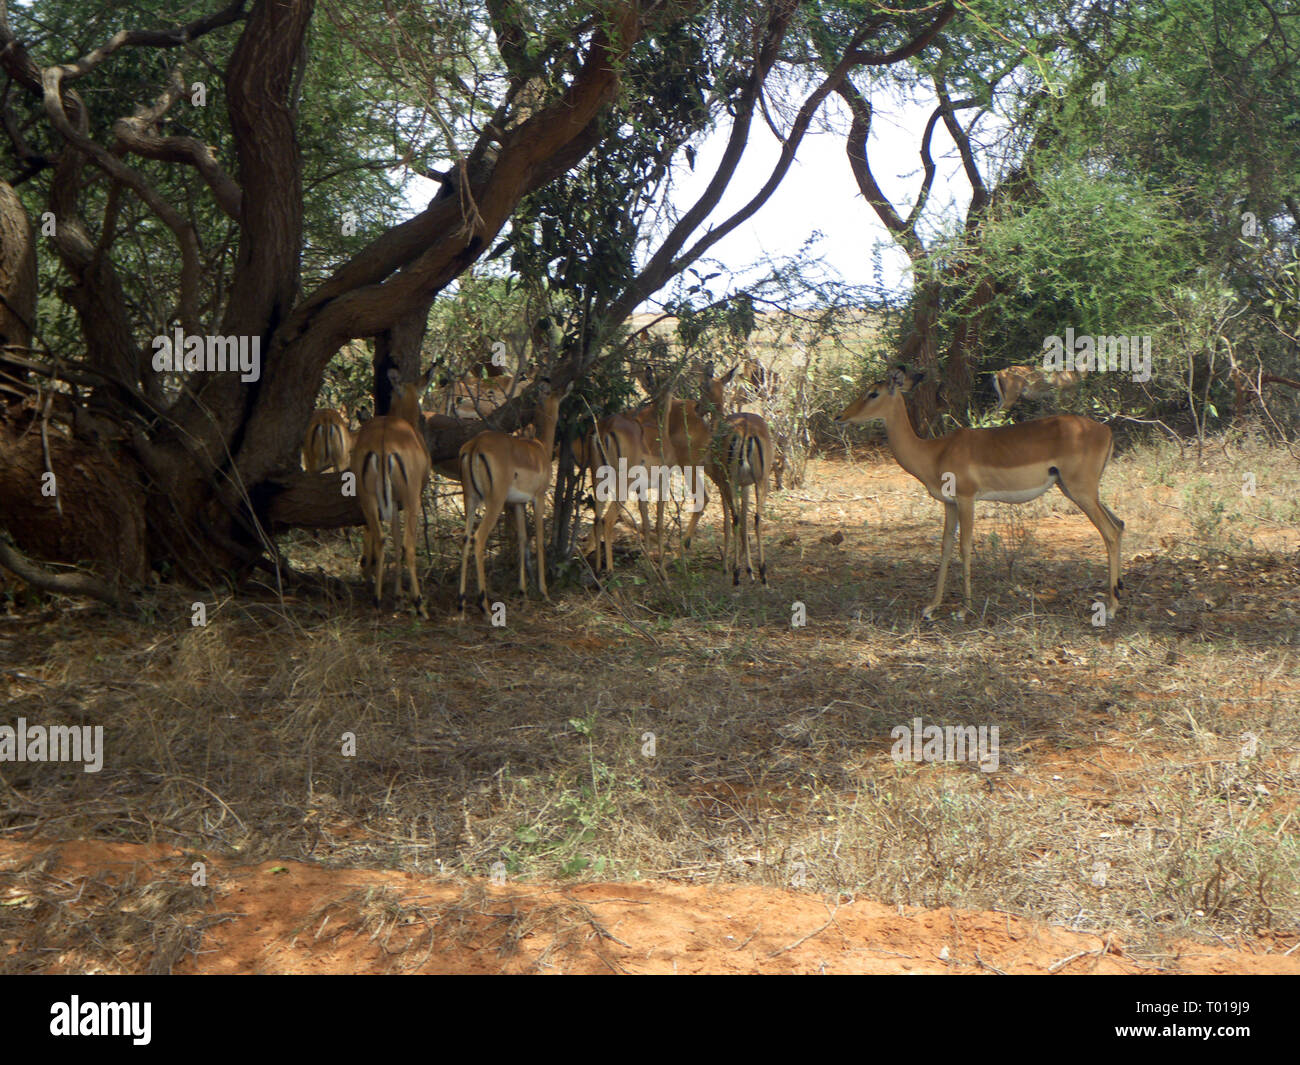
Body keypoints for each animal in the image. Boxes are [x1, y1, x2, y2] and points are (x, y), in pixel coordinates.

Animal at [350, 367, 433, 616]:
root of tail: (384, 444)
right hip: (412, 499)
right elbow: (401, 542)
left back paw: (376, 600)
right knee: (409, 546)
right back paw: (420, 604)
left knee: (380, 539)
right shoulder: (405, 500)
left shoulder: (393, 503)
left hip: (367, 499)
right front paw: (402, 597)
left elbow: (394, 538)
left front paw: (397, 597)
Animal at [457, 380, 570, 616]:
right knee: (478, 538)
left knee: (465, 539)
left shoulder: (517, 504)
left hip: (470, 499)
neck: (539, 449)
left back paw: (461, 604)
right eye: (555, 395)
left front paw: (523, 592)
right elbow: (538, 540)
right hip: (494, 502)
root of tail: (475, 445)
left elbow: (522, 540)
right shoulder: (538, 498)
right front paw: (544, 593)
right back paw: (484, 605)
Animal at [836, 366, 1124, 619]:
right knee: (1119, 524)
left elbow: (964, 546)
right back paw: (1118, 592)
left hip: (1081, 492)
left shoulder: (966, 499)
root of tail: (1106, 430)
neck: (934, 452)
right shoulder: (949, 503)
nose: (841, 416)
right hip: (1077, 490)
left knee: (1109, 532)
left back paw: (1110, 608)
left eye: (873, 393)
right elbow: (945, 546)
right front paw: (931, 607)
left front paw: (964, 609)